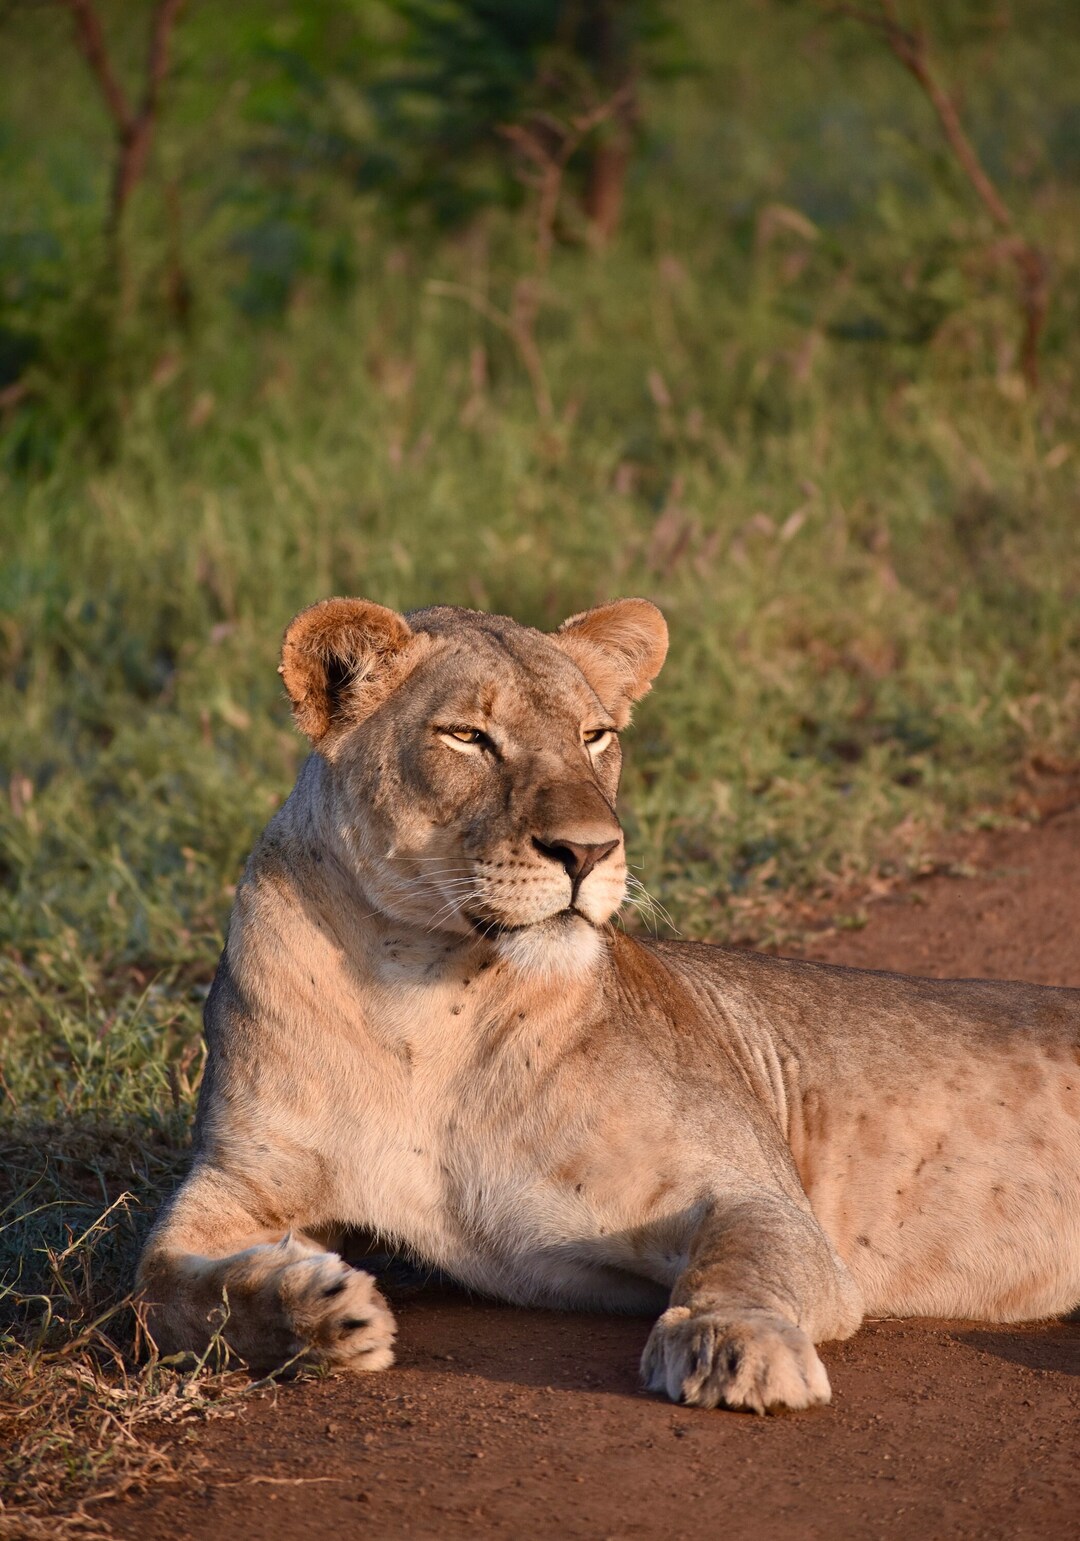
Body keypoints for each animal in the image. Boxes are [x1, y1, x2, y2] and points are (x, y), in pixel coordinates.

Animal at [138, 596, 1080, 1413]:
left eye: (597, 736)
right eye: (468, 736)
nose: (589, 851)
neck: (418, 994)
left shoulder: (758, 1194)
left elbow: (741, 1261)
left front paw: (731, 1344)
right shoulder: (240, 1179)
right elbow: (162, 1283)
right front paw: (319, 1312)